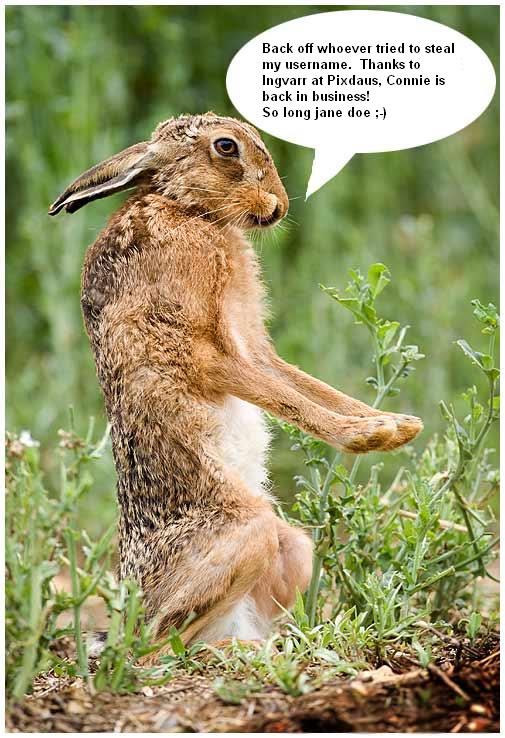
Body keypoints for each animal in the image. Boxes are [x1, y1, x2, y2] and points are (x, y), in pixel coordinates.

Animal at [49, 112, 422, 658]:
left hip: (294, 547)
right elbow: (287, 398)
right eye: (226, 147)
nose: (280, 206)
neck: (188, 210)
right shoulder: (204, 352)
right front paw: (366, 437)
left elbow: (301, 385)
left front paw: (397, 426)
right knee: (158, 650)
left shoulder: (254, 345)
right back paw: (233, 650)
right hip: (245, 538)